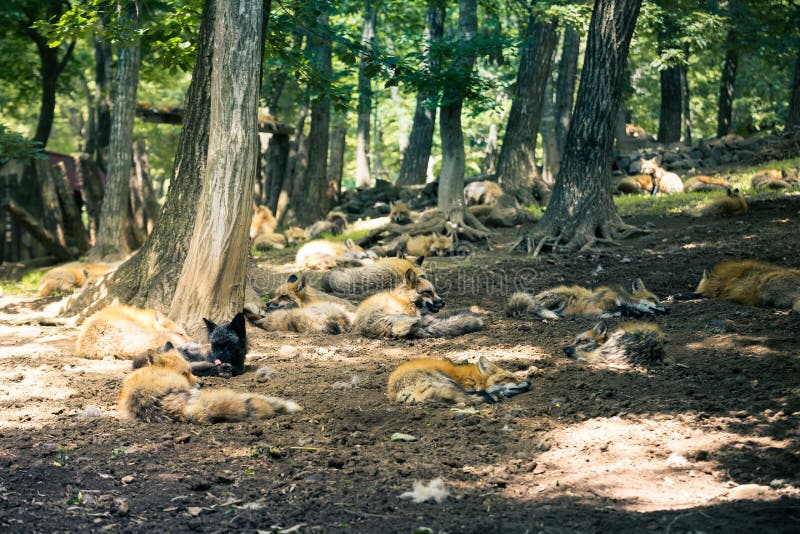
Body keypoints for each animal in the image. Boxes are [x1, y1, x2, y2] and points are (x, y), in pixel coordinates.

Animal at [506, 278, 666, 320]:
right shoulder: (601, 303)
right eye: (653, 299)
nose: (667, 309)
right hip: (564, 297)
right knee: (532, 311)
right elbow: (620, 308)